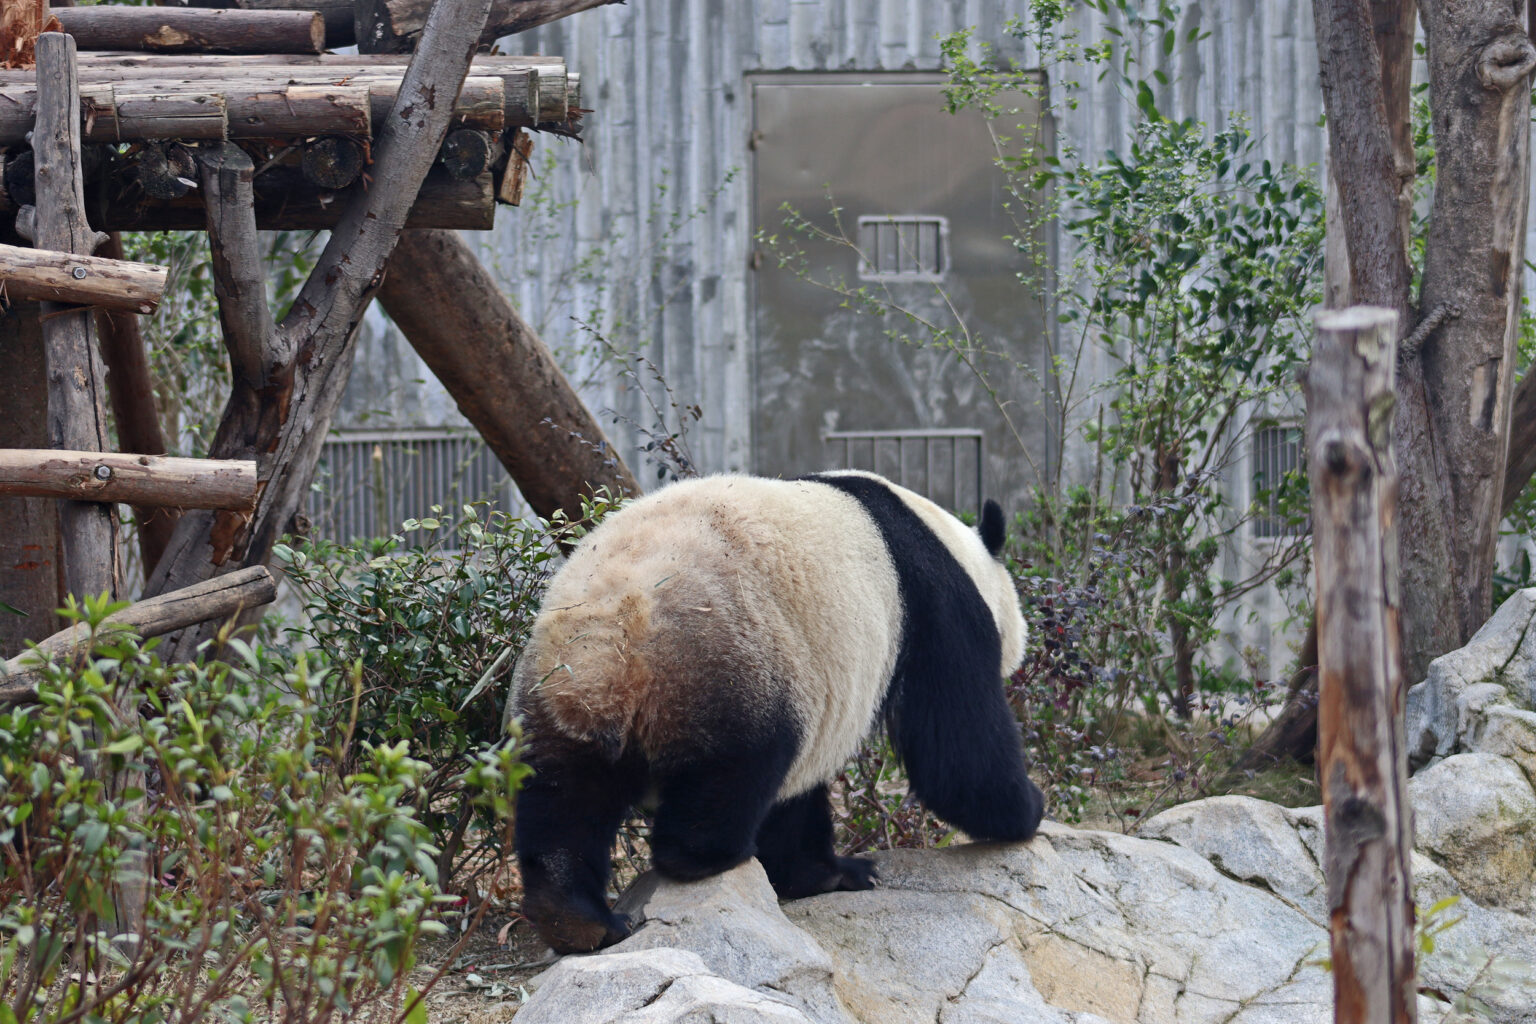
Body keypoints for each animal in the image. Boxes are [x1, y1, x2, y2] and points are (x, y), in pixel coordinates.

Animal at [508, 470, 1045, 954]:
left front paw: (824, 873)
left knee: (563, 801)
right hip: (732, 665)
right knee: (740, 770)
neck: (952, 541)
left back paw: (577, 920)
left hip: (554, 693)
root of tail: (617, 637)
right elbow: (956, 753)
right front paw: (1028, 810)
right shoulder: (933, 607)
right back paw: (708, 858)